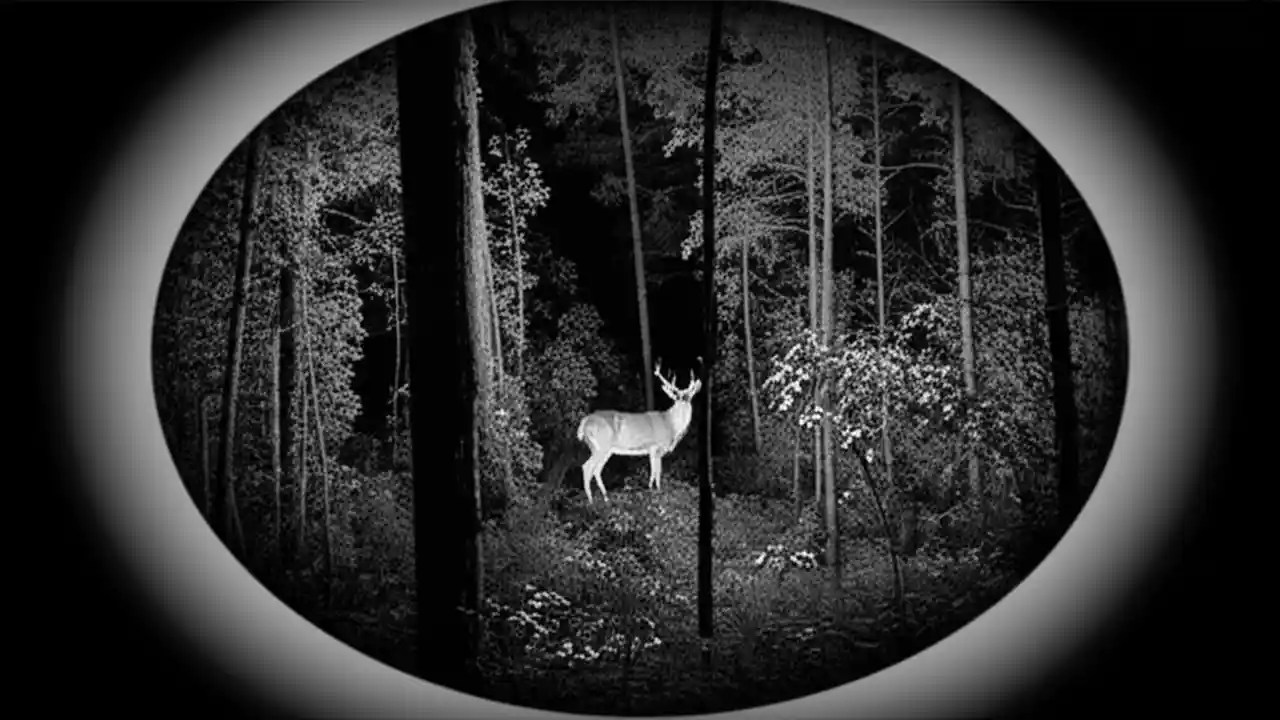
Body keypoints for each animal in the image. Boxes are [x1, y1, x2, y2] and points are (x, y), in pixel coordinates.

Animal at [575, 360, 703, 504]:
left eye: (689, 395)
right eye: (676, 396)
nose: (683, 399)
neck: (670, 424)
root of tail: (584, 422)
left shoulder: (652, 450)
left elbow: (654, 472)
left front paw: (651, 490)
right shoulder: (657, 447)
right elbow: (657, 472)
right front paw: (657, 492)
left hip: (602, 448)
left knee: (596, 470)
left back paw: (606, 497)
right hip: (601, 445)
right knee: (587, 467)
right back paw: (591, 501)